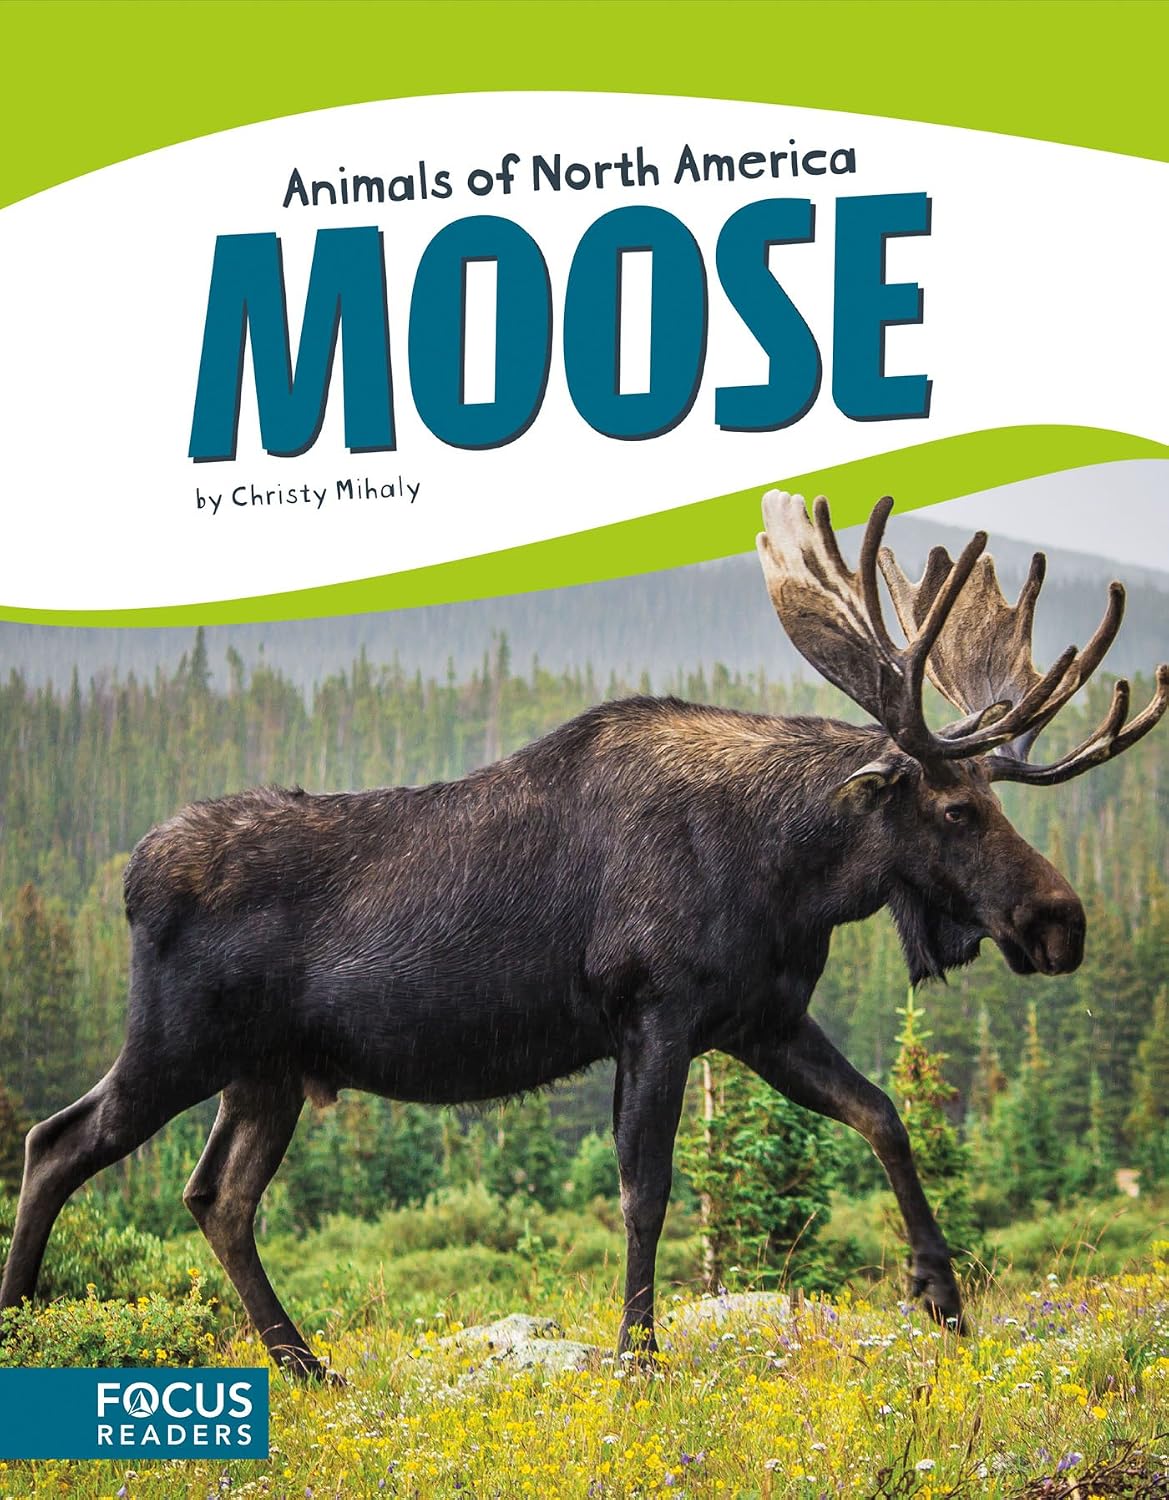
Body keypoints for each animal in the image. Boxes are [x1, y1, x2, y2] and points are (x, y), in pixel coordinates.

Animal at [2, 491, 1166, 1379]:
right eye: (956, 809)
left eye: (991, 800)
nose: (1059, 922)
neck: (786, 873)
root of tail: (130, 876)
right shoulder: (654, 1015)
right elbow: (645, 1190)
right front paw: (637, 1358)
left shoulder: (760, 1022)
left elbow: (882, 1114)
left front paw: (940, 1293)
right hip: (179, 1042)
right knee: (58, 1141)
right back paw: (26, 1321)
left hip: (268, 1072)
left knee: (218, 1197)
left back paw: (305, 1364)